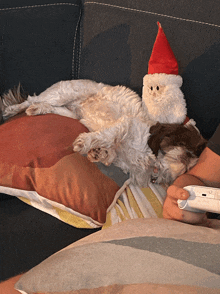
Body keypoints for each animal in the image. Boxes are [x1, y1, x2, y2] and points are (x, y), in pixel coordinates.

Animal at [3, 79, 206, 187]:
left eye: (190, 163)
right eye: (186, 149)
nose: (185, 162)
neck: (151, 158)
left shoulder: (124, 160)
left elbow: (112, 152)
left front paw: (99, 153)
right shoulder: (127, 125)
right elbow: (108, 136)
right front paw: (85, 143)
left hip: (70, 113)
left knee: (47, 106)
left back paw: (37, 110)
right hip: (63, 94)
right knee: (31, 99)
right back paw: (12, 109)